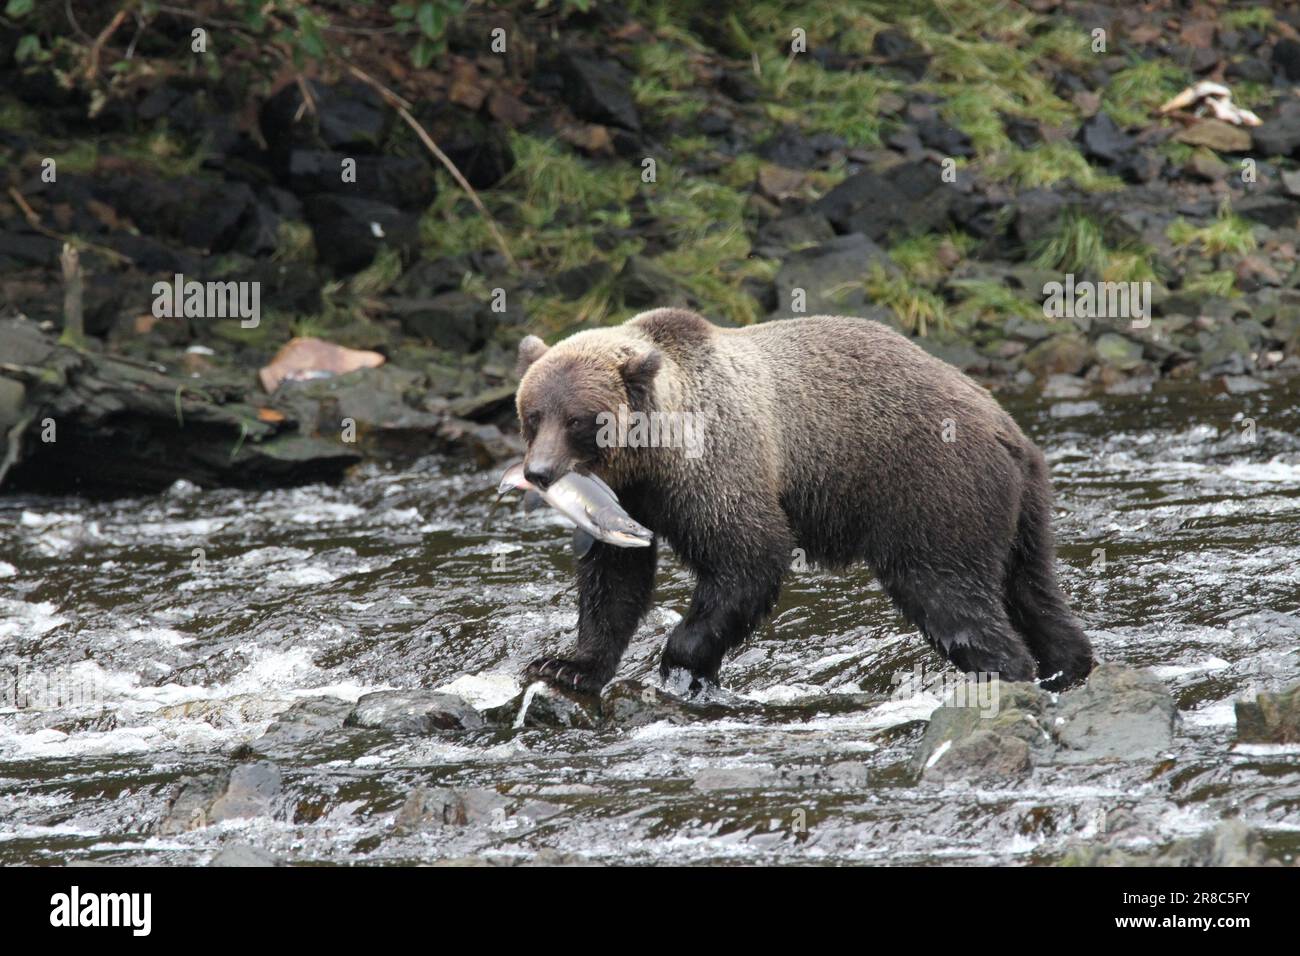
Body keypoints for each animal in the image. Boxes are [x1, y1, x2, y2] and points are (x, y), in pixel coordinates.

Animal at [513, 307, 1095, 696]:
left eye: (578, 420)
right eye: (532, 414)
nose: (539, 472)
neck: (651, 459)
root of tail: (1007, 428)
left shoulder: (718, 466)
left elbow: (748, 557)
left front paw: (681, 659)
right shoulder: (628, 502)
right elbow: (614, 580)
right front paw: (565, 665)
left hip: (934, 488)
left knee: (947, 592)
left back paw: (1006, 673)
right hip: (1023, 506)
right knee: (1032, 586)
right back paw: (1068, 663)